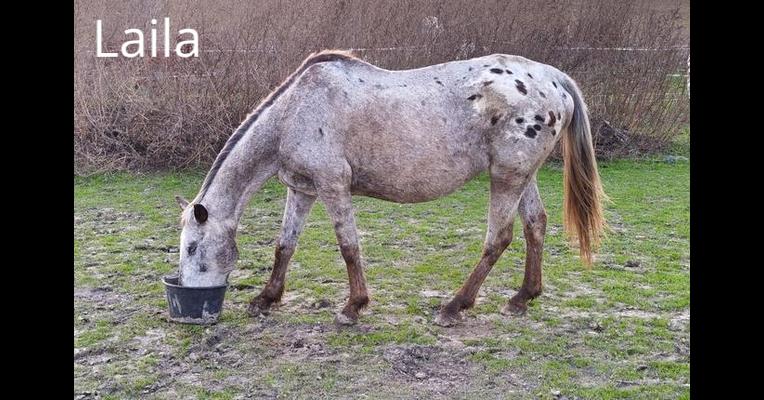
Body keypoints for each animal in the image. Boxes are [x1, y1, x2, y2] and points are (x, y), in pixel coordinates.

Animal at [174, 50, 606, 327]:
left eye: (193, 248)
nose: (190, 298)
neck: (295, 111)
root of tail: (553, 78)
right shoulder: (302, 190)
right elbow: (285, 246)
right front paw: (266, 299)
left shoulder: (333, 185)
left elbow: (348, 246)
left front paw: (353, 307)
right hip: (520, 176)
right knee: (536, 225)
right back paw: (521, 299)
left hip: (506, 177)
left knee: (498, 238)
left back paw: (454, 307)